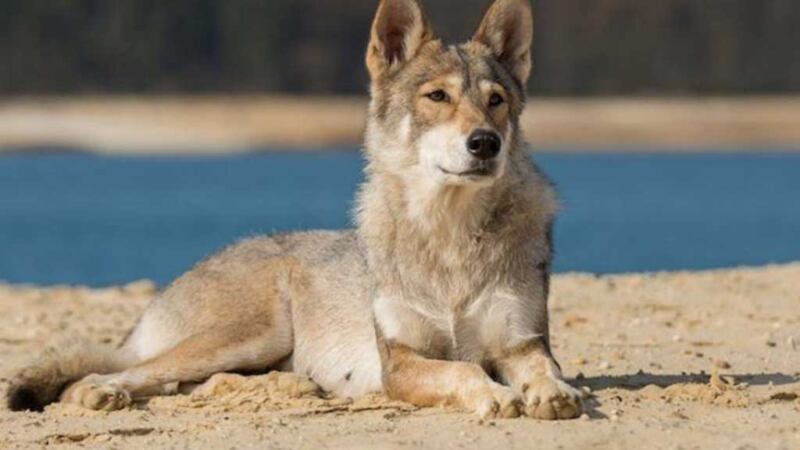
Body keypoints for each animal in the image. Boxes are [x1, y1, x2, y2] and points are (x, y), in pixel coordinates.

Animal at [6, 0, 582, 420]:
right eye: (437, 97)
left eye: (495, 101)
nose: (485, 143)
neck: (450, 236)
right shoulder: (400, 363)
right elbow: (463, 372)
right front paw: (498, 395)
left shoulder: (523, 343)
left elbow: (544, 370)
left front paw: (553, 394)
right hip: (252, 335)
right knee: (106, 375)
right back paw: (99, 394)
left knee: (177, 381)